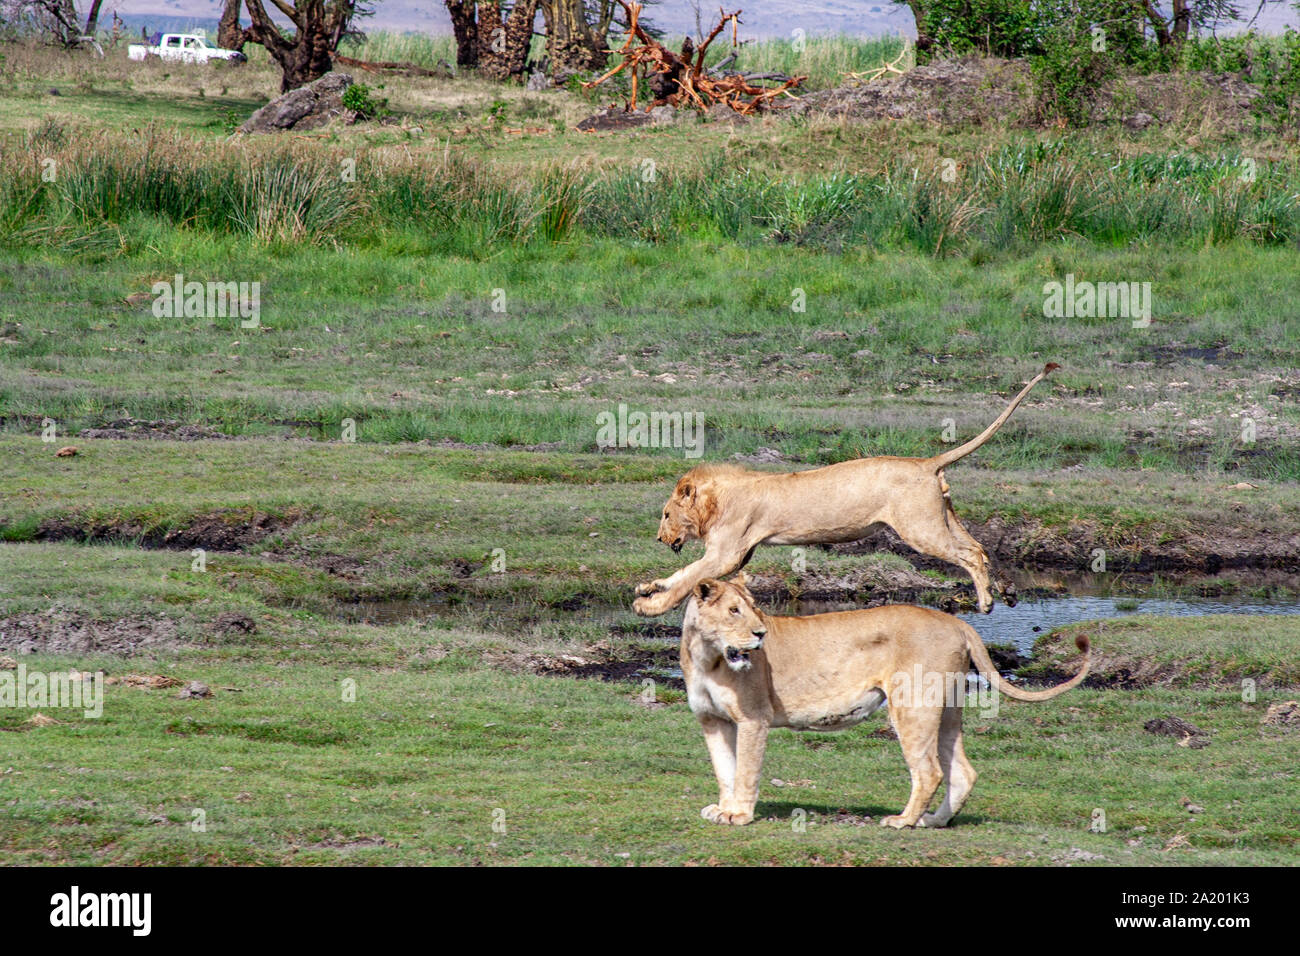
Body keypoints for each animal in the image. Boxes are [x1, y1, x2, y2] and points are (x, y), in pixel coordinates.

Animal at [634, 363, 1059, 617]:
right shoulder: (734, 555)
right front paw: (647, 586)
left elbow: (688, 579)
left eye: (666, 514)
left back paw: (986, 601)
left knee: (968, 553)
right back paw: (1006, 592)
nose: (658, 537)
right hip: (941, 516)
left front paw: (650, 606)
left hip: (919, 528)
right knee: (979, 546)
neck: (716, 501)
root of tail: (925, 463)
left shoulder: (727, 554)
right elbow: (683, 572)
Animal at [680, 574, 1091, 828]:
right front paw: (724, 809)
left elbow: (745, 771)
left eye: (753, 608)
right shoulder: (713, 721)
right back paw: (934, 821)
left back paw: (904, 821)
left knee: (929, 771)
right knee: (962, 770)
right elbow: (725, 770)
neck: (708, 657)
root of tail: (957, 622)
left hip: (912, 706)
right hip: (947, 709)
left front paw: (739, 815)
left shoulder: (754, 718)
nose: (761, 633)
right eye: (734, 610)